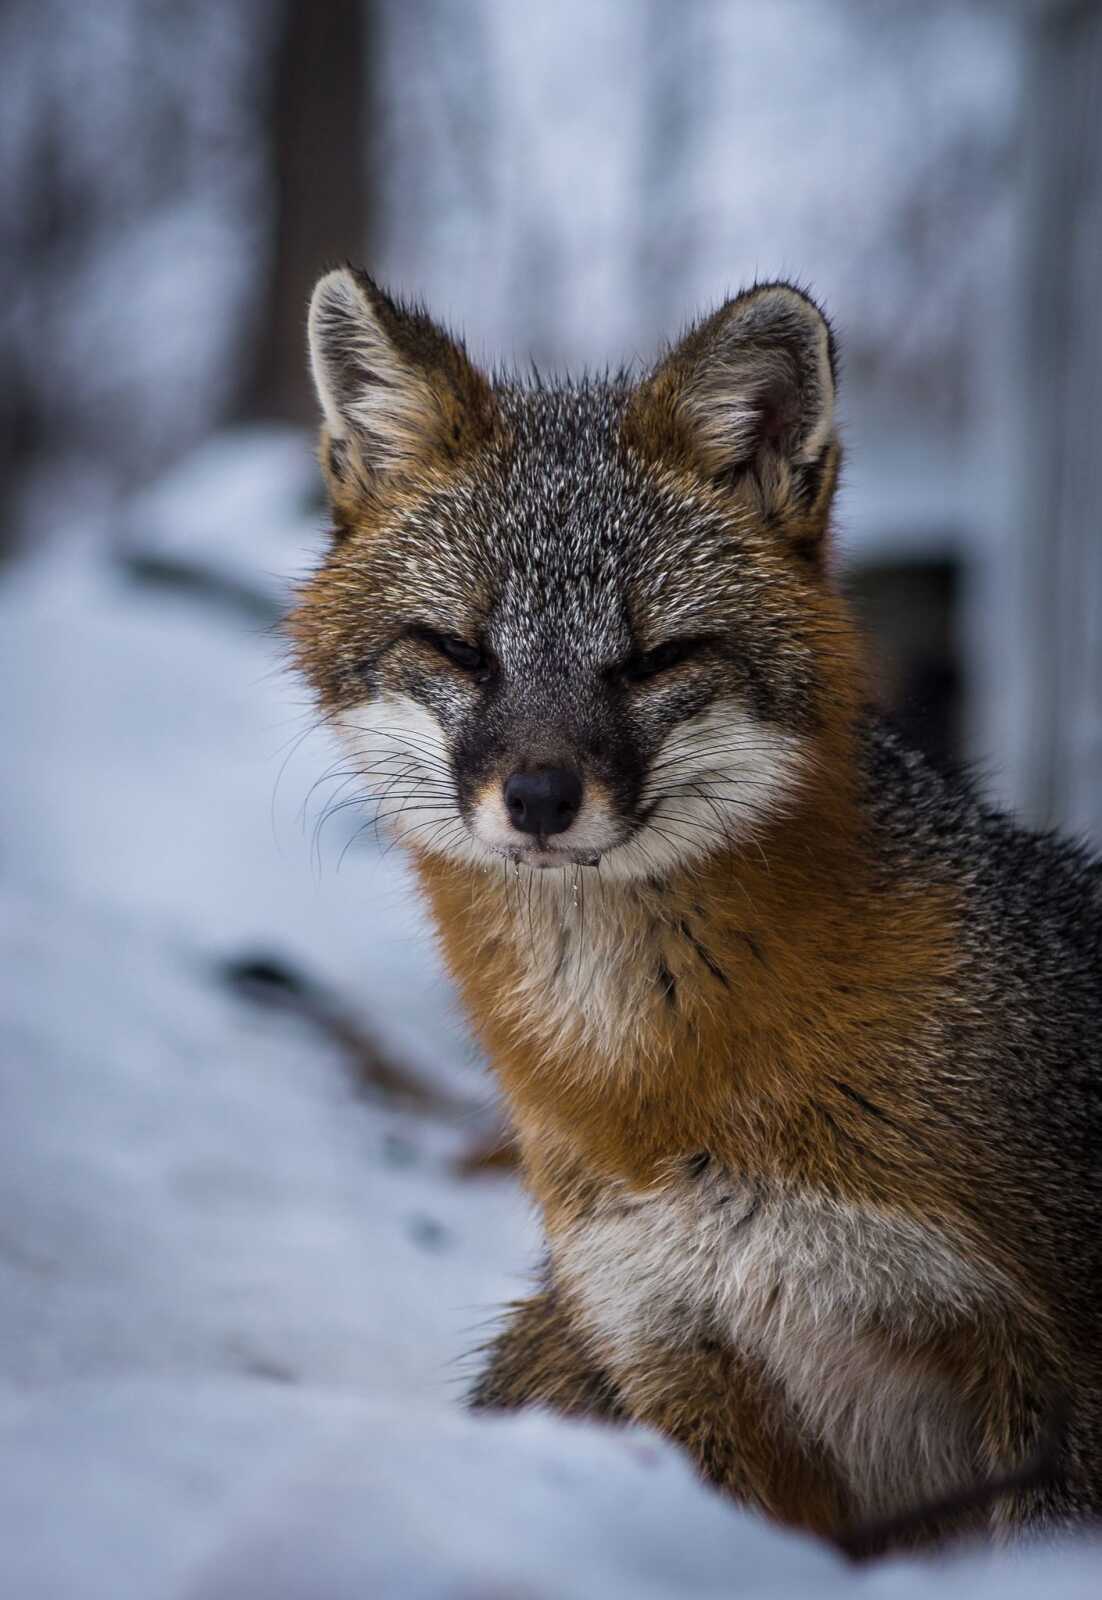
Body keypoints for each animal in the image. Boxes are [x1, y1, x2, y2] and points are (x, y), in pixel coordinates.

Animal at [289, 265, 1102, 1552]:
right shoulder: (669, 1341)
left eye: (654, 659)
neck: (655, 1090)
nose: (538, 798)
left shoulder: (1047, 1360)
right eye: (459, 650)